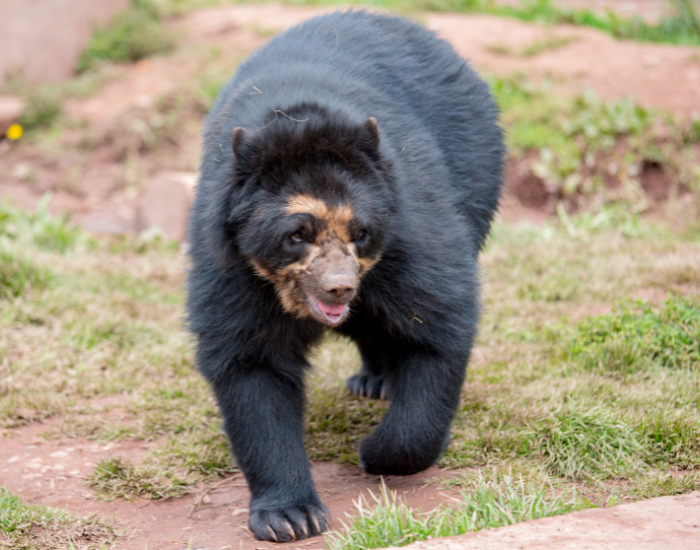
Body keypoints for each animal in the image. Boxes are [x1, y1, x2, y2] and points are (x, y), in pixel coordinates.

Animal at [186, 10, 504, 543]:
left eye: (360, 231)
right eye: (296, 234)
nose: (340, 287)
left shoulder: (409, 228)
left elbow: (436, 324)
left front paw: (376, 452)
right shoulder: (230, 263)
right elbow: (250, 365)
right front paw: (290, 518)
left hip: (476, 165)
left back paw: (379, 384)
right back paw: (372, 379)